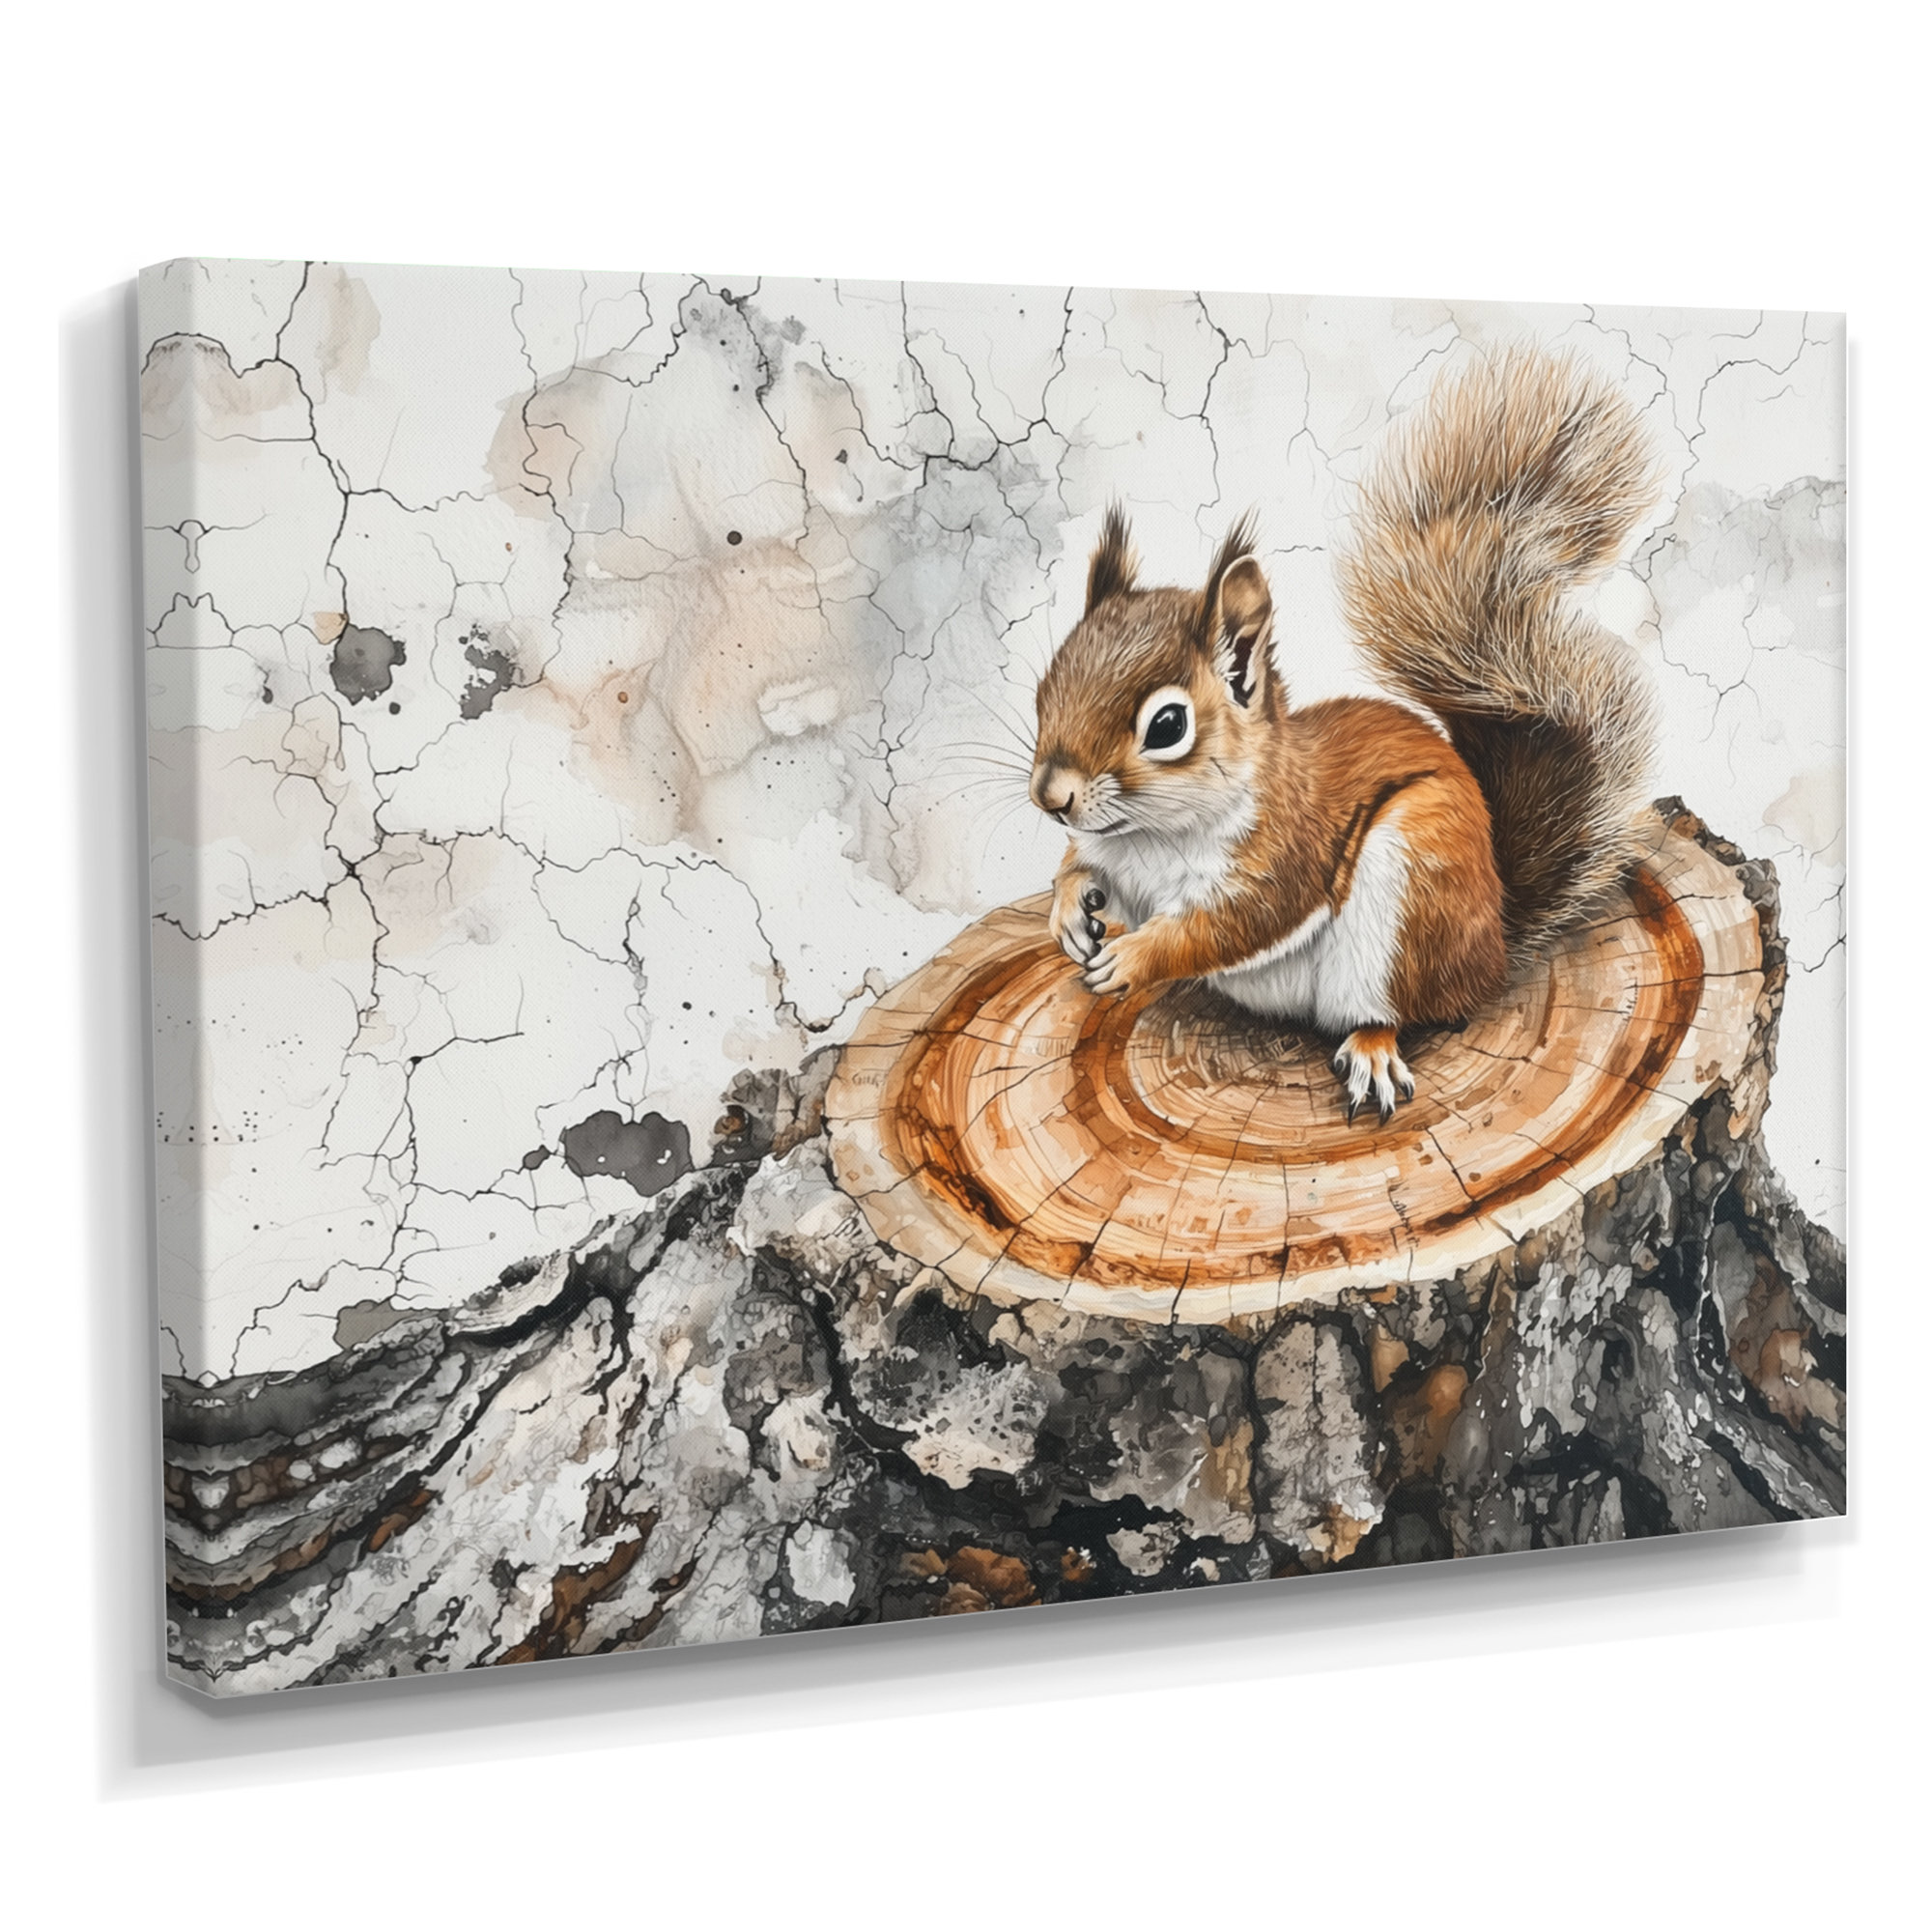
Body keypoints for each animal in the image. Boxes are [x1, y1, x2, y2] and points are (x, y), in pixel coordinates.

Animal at [1027, 347, 1661, 1122]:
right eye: (1045, 687)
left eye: (1168, 725)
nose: (1051, 796)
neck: (1149, 835)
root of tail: (1493, 944)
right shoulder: (1112, 859)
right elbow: (1082, 871)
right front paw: (1069, 911)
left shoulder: (1286, 855)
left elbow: (1226, 928)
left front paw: (1135, 957)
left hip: (1408, 897)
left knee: (1395, 1009)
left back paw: (1372, 1052)